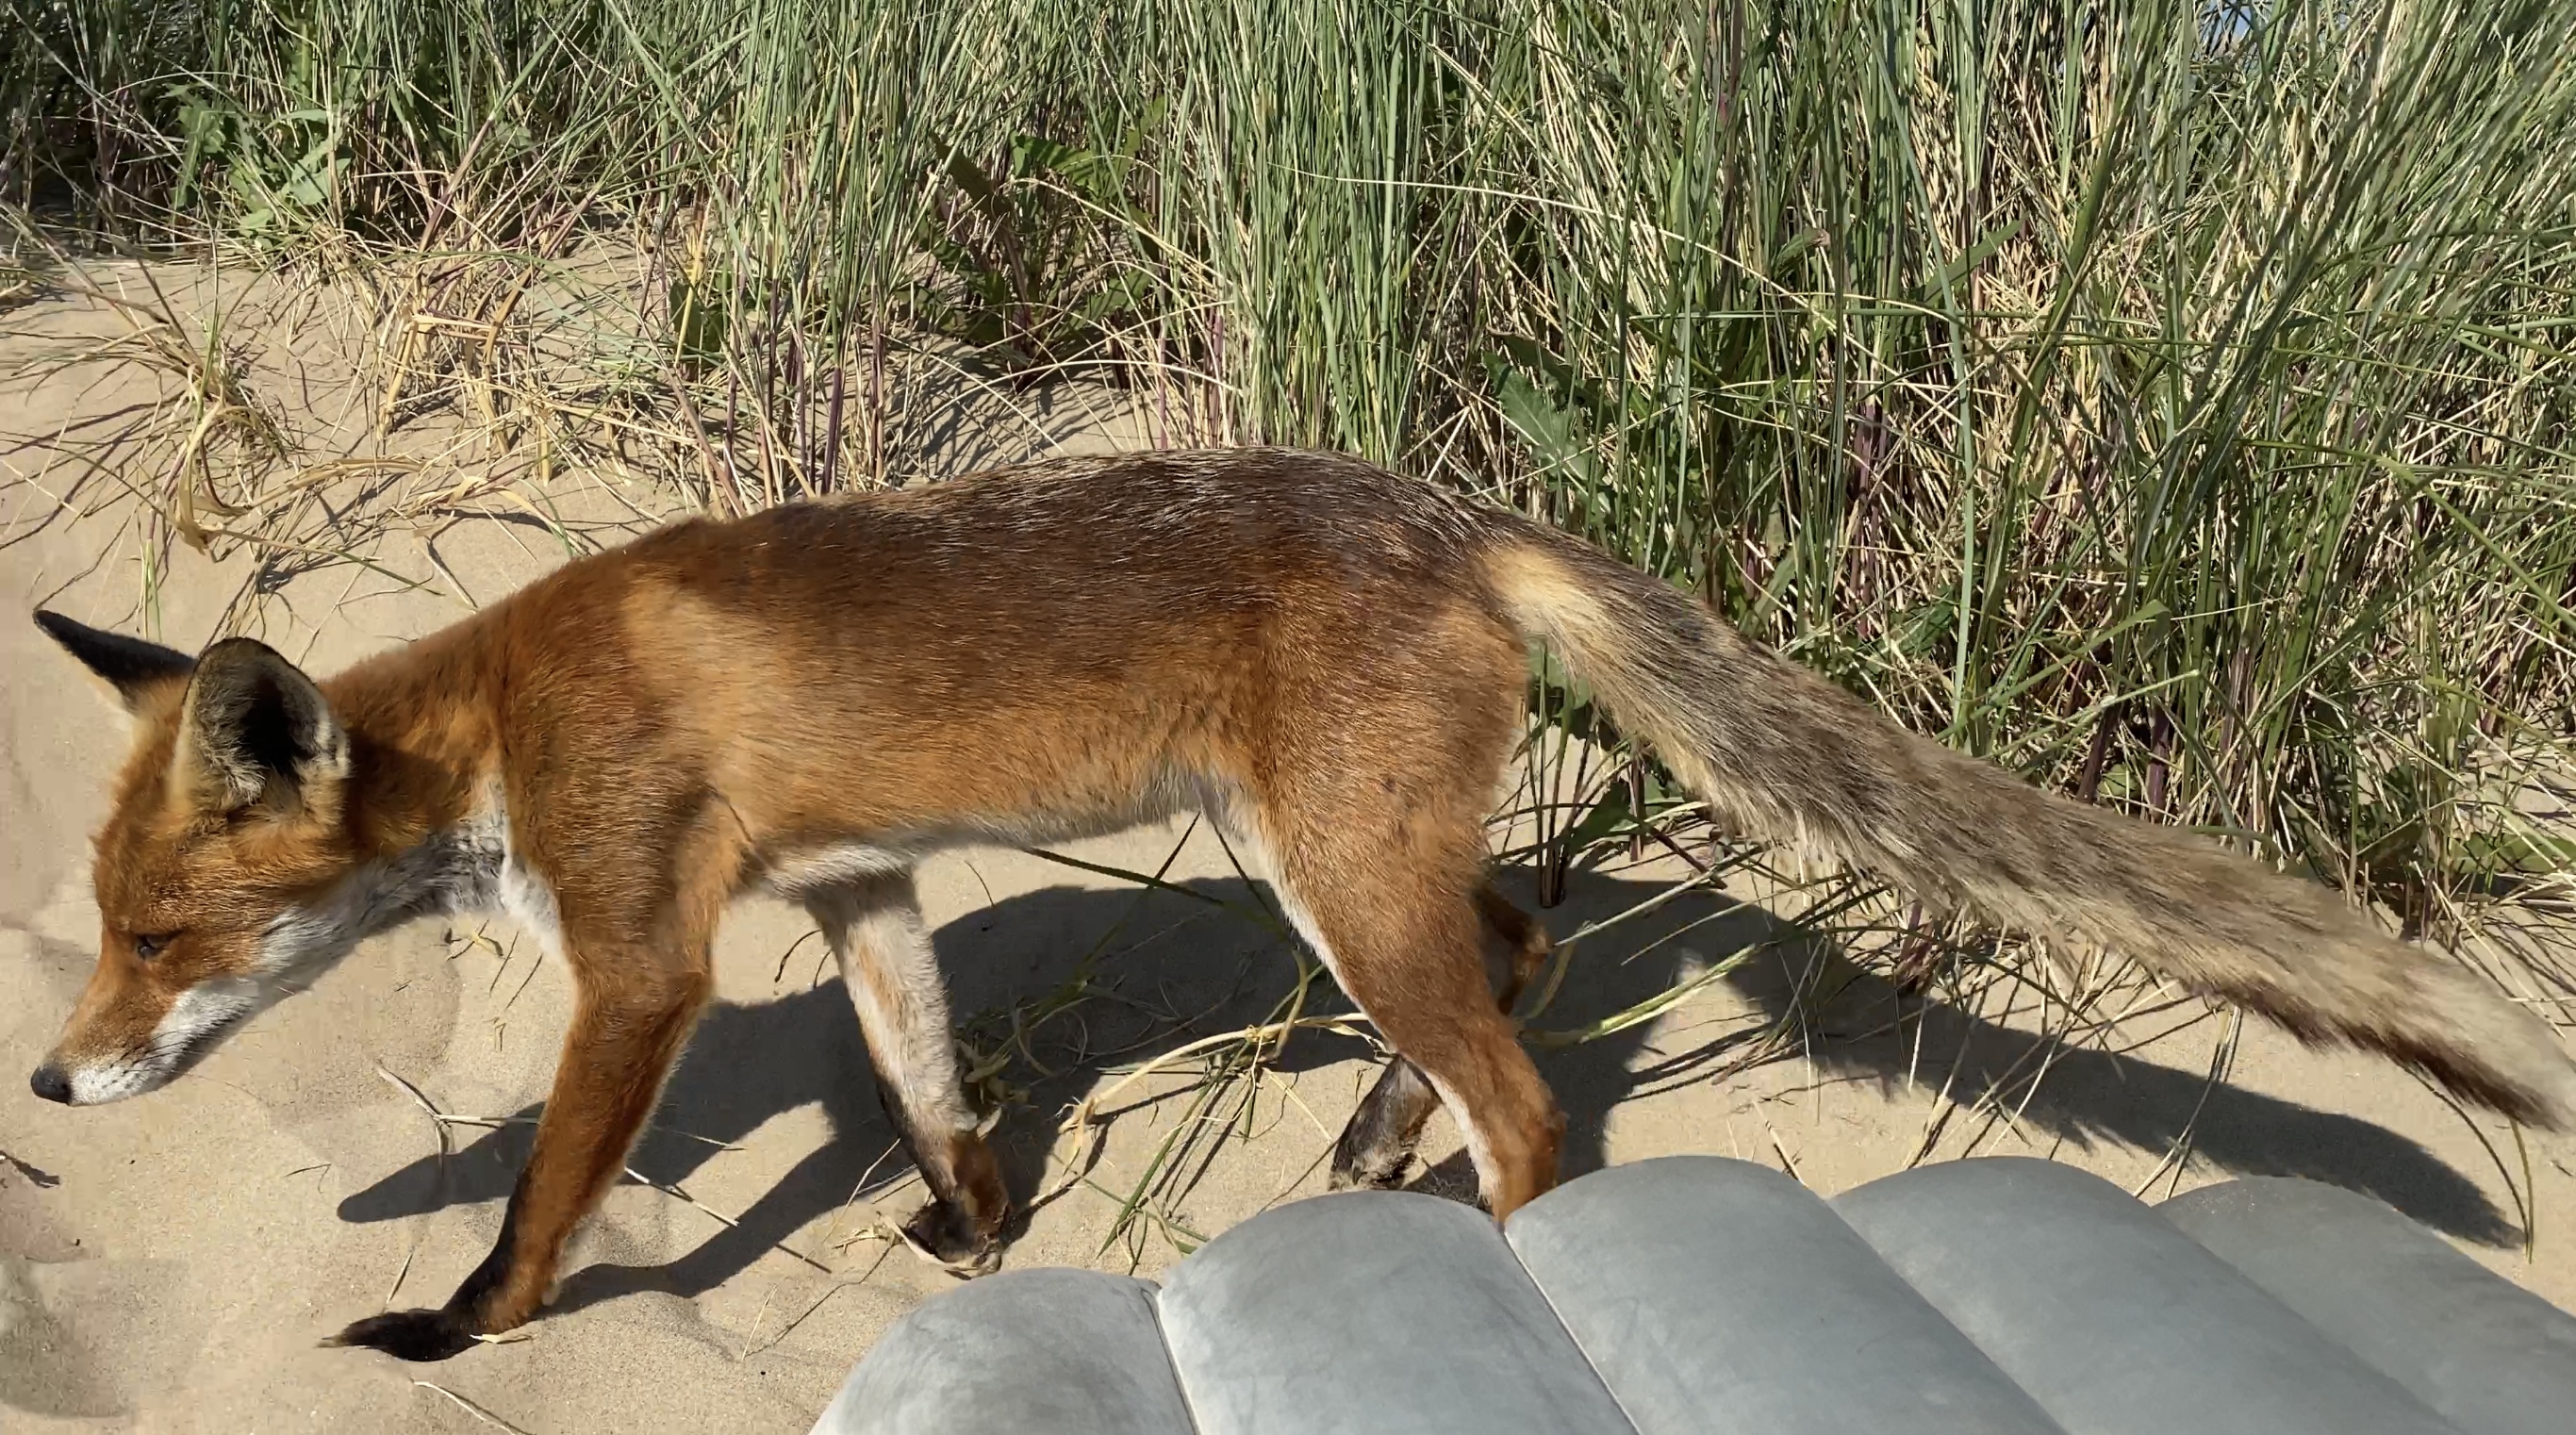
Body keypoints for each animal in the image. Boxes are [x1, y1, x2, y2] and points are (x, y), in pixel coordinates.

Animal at [25, 446, 2576, 1361]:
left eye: (161, 934)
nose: (51, 1079)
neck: (509, 712)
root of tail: (1455, 509)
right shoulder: (861, 886)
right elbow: (925, 1080)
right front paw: (972, 1232)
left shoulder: (644, 960)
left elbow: (548, 1205)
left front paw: (452, 1333)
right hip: (1374, 873)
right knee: (1525, 964)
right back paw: (1370, 1148)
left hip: (1333, 873)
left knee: (1533, 1095)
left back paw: (1519, 1243)